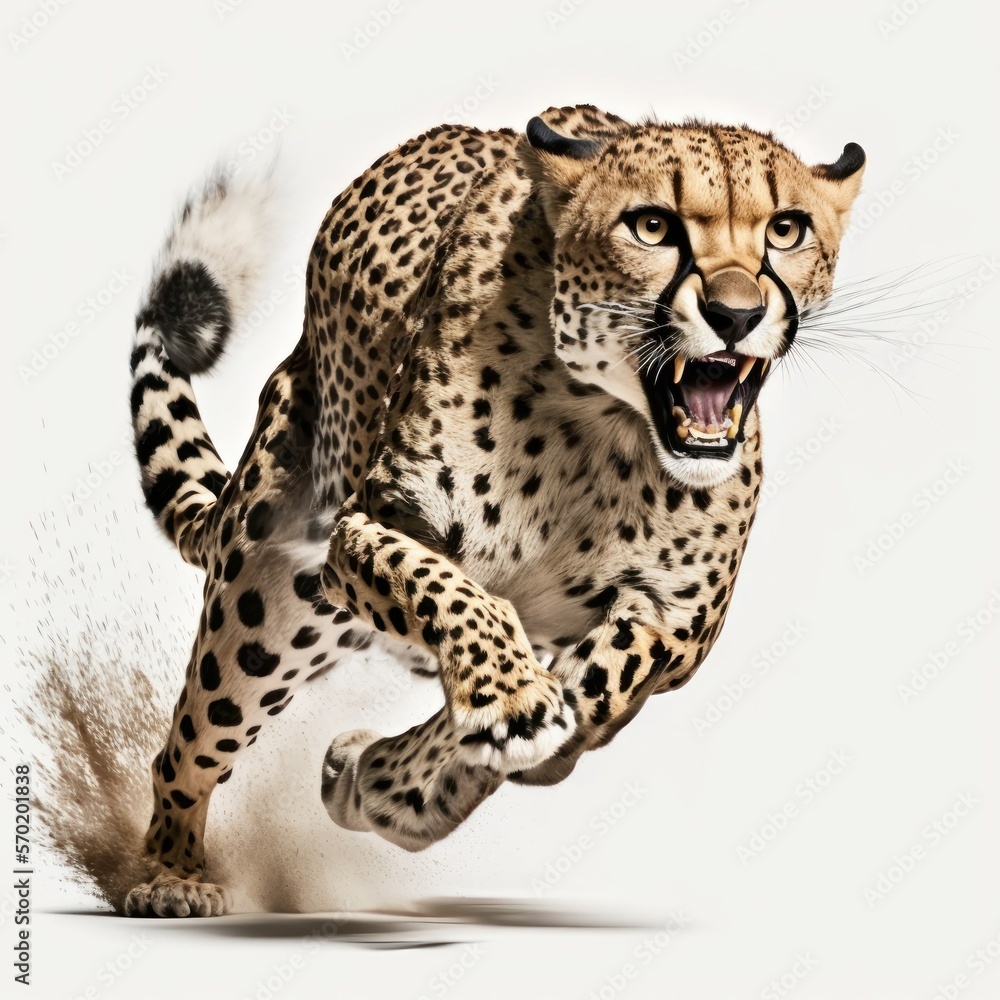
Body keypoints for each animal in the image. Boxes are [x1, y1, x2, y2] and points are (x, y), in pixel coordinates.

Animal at [122, 104, 864, 916]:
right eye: (653, 226)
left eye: (786, 230)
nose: (736, 313)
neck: (602, 424)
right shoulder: (366, 529)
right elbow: (450, 591)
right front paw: (508, 702)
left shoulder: (677, 624)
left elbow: (591, 688)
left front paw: (386, 782)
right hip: (272, 599)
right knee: (190, 746)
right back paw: (170, 873)